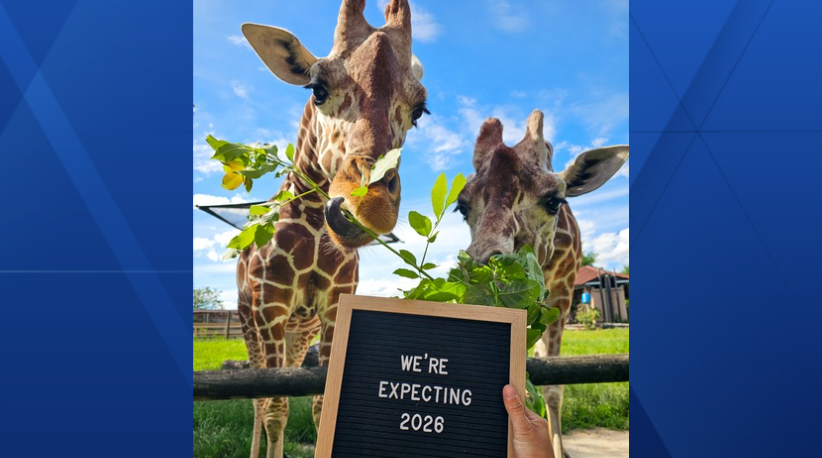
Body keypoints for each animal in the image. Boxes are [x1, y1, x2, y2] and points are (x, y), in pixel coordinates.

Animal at [236, 1, 427, 457]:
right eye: (317, 89)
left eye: (419, 111)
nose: (368, 203)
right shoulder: (270, 309)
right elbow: (275, 407)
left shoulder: (333, 309)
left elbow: (321, 406)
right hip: (250, 324)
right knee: (257, 401)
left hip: (297, 332)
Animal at [456, 110, 628, 458]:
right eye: (462, 207)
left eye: (554, 201)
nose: (483, 276)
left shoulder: (562, 298)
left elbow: (553, 388)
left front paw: (555, 447)